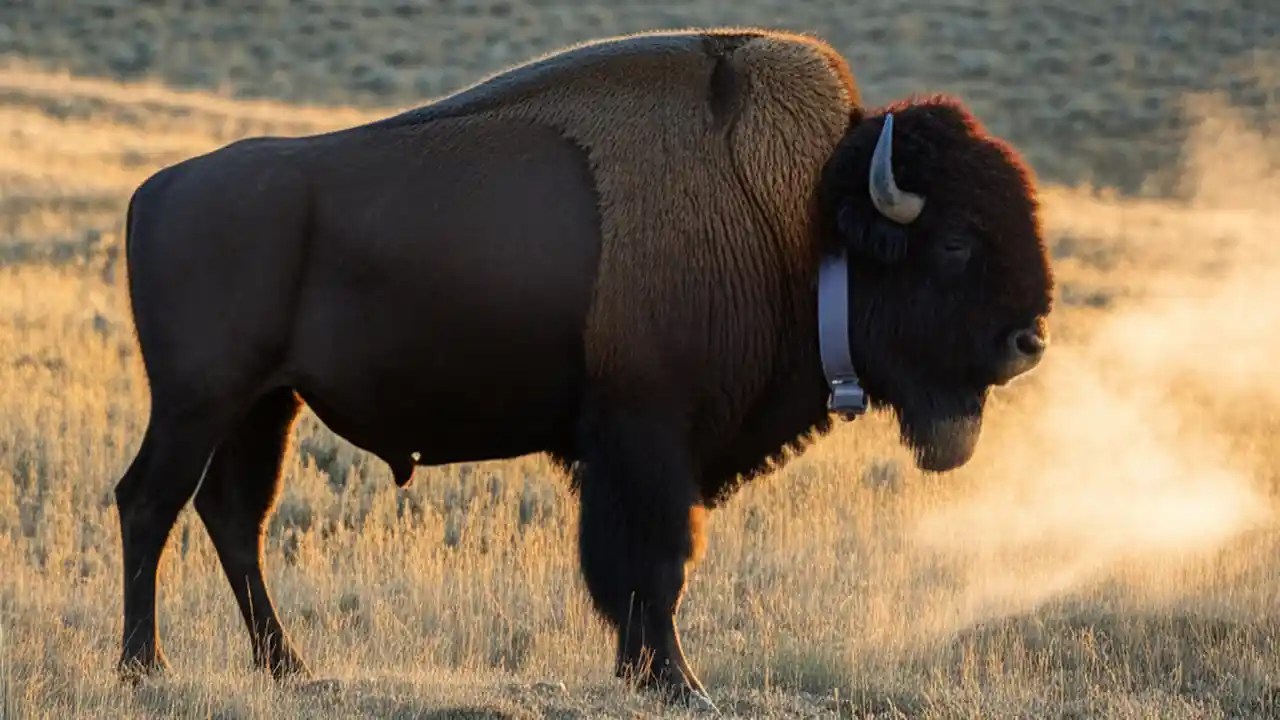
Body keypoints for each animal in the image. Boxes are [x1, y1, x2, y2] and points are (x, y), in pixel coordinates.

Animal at [113, 28, 1052, 706]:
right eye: (957, 242)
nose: (1027, 342)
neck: (801, 220)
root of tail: (155, 191)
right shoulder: (645, 440)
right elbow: (653, 564)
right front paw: (679, 683)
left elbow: (644, 572)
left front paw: (648, 673)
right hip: (197, 401)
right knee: (150, 500)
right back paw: (143, 668)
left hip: (265, 405)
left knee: (234, 516)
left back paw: (288, 667)